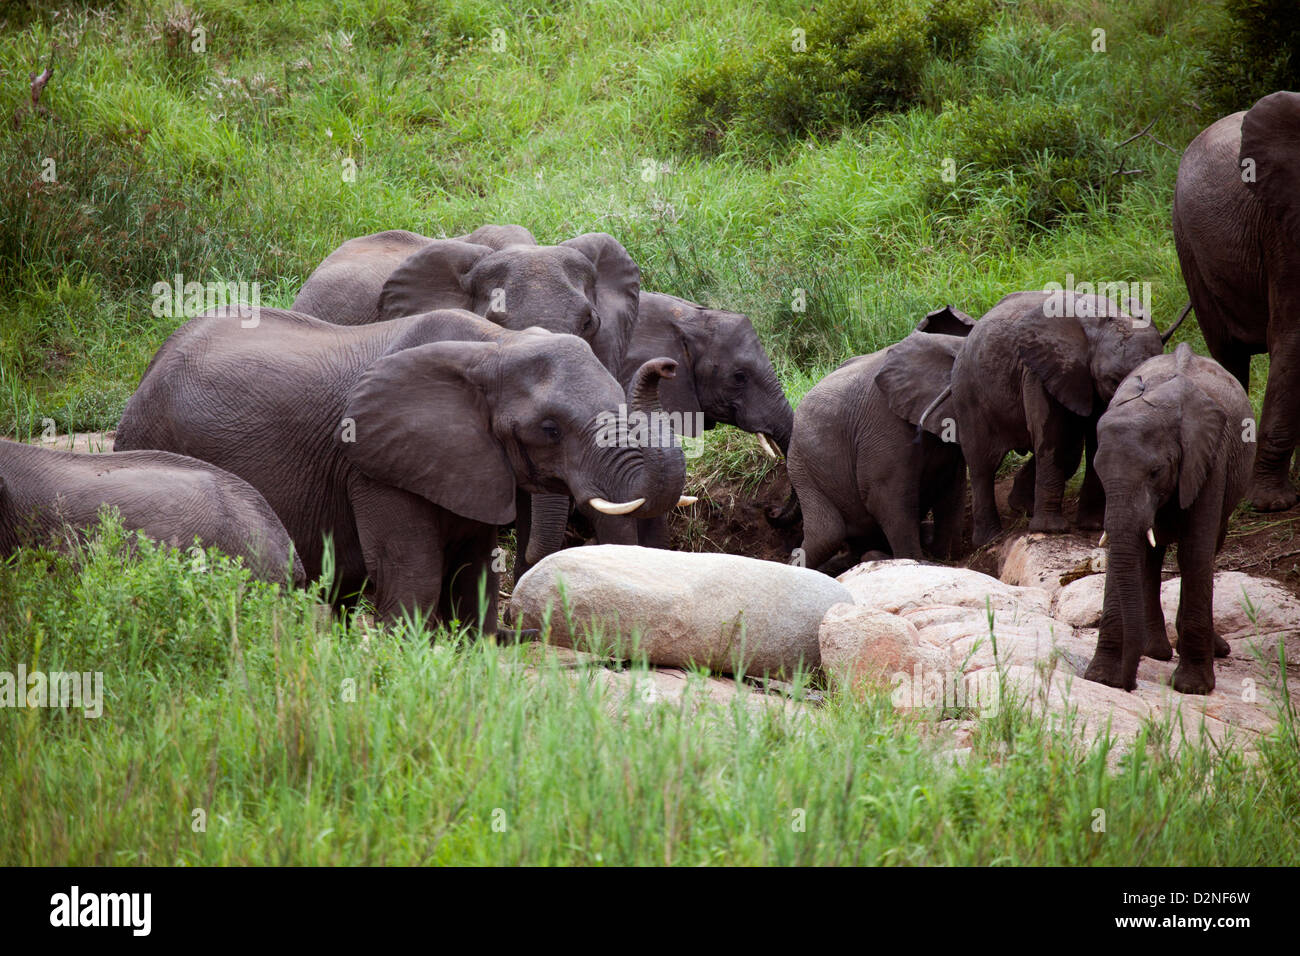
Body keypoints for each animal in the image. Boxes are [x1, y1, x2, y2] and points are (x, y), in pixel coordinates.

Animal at [114, 307, 687, 630]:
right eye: (548, 429)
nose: (666, 366)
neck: (495, 344)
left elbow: (472, 574)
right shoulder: (372, 462)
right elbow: (415, 574)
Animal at [787, 306, 973, 572]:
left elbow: (953, 489)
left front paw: (945, 557)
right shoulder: (884, 425)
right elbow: (886, 497)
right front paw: (917, 560)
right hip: (803, 465)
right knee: (827, 534)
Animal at [946, 290, 1164, 548]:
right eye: (1113, 380)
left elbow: (1094, 440)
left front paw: (1092, 525)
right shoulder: (1038, 369)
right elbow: (1052, 436)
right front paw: (1051, 530)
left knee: (1070, 452)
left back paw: (1023, 507)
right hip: (968, 392)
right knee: (983, 465)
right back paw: (990, 540)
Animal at [1085, 343, 1254, 695]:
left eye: (1155, 472)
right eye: (1098, 471)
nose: (1130, 684)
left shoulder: (1210, 460)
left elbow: (1195, 553)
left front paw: (1192, 687)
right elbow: (1124, 550)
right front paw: (1102, 678)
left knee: (1207, 547)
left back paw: (1212, 649)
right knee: (1152, 552)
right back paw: (1156, 651)